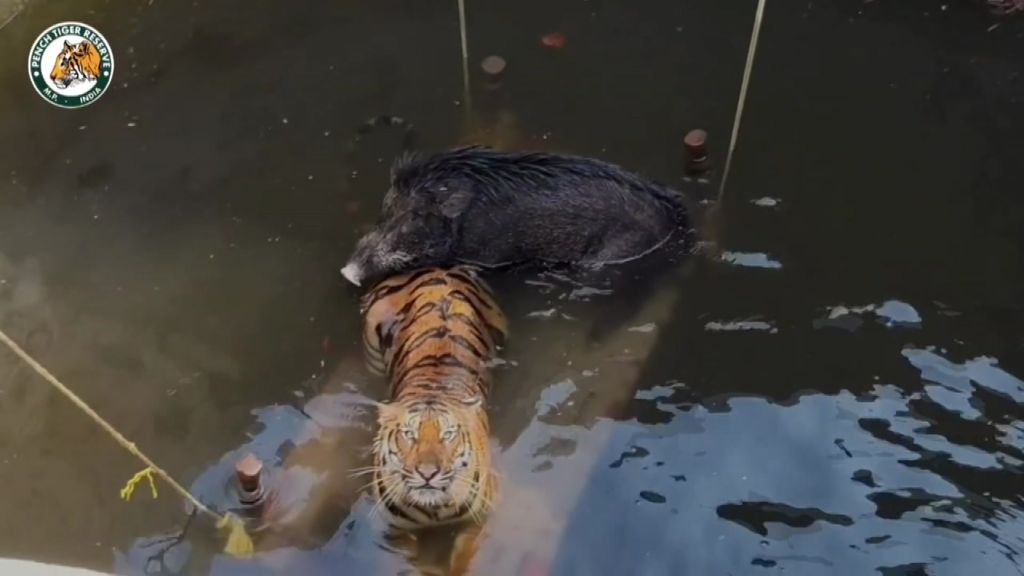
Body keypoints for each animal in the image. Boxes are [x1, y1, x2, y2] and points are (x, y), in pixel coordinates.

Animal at [359, 266, 507, 532]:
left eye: (448, 435)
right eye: (409, 434)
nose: (427, 474)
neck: (433, 512)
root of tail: (441, 269)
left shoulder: (478, 519)